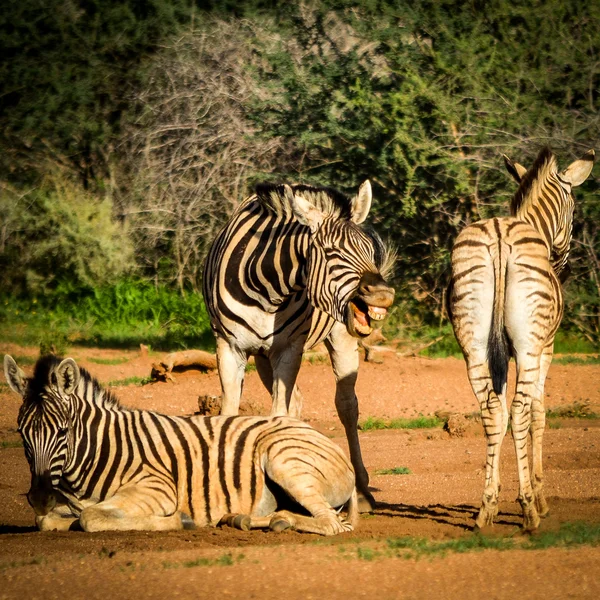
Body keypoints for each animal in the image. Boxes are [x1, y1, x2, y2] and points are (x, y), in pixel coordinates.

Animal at [4, 352, 358, 536]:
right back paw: (244, 519)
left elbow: (90, 519)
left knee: (331, 524)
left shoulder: (157, 489)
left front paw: (178, 521)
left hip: (283, 459)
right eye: (21, 433)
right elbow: (47, 521)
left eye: (63, 432)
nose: (39, 497)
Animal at [204, 180, 396, 508]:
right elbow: (229, 412)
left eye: (370, 250)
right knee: (295, 402)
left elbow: (278, 414)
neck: (266, 290)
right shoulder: (228, 346)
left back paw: (362, 490)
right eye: (331, 252)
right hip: (263, 357)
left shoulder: (289, 347)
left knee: (347, 406)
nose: (383, 296)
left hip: (339, 336)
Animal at [448, 148, 592, 532]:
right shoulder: (546, 349)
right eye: (574, 211)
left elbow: (499, 415)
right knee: (518, 411)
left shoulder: (498, 355)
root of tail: (499, 235)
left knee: (491, 411)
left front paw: (496, 496)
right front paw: (539, 496)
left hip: (472, 345)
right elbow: (539, 413)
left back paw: (485, 510)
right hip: (528, 347)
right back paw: (529, 510)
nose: (564, 266)